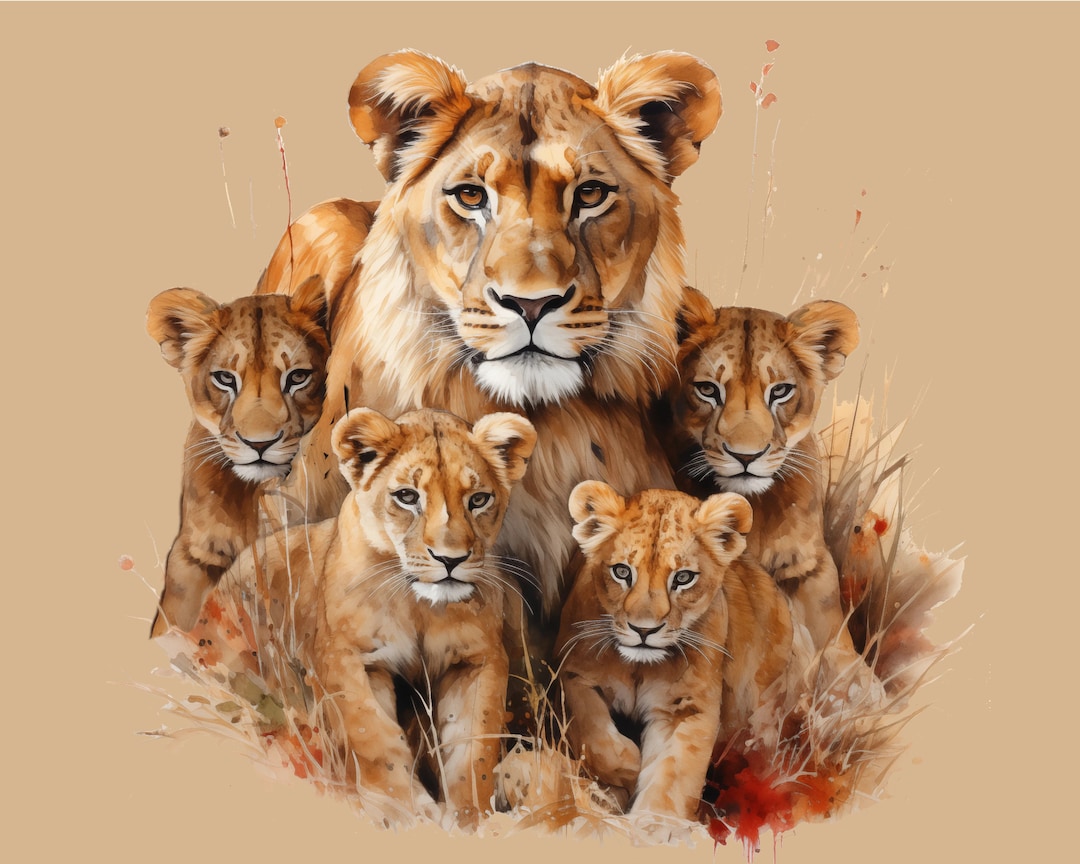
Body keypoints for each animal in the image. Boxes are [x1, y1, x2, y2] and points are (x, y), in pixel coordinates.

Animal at [145, 277, 329, 636]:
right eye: (225, 378)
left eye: (298, 377)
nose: (259, 444)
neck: (248, 494)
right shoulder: (195, 551)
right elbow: (174, 619)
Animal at [219, 407, 536, 828]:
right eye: (407, 496)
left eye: (479, 499)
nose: (450, 560)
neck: (420, 607)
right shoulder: (348, 657)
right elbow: (373, 737)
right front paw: (404, 813)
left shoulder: (477, 660)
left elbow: (473, 749)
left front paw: (469, 820)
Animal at [554, 482, 792, 821]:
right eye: (622, 572)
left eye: (682, 577)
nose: (643, 630)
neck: (638, 667)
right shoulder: (571, 672)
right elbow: (592, 730)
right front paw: (630, 768)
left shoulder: (686, 706)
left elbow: (674, 773)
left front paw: (656, 823)